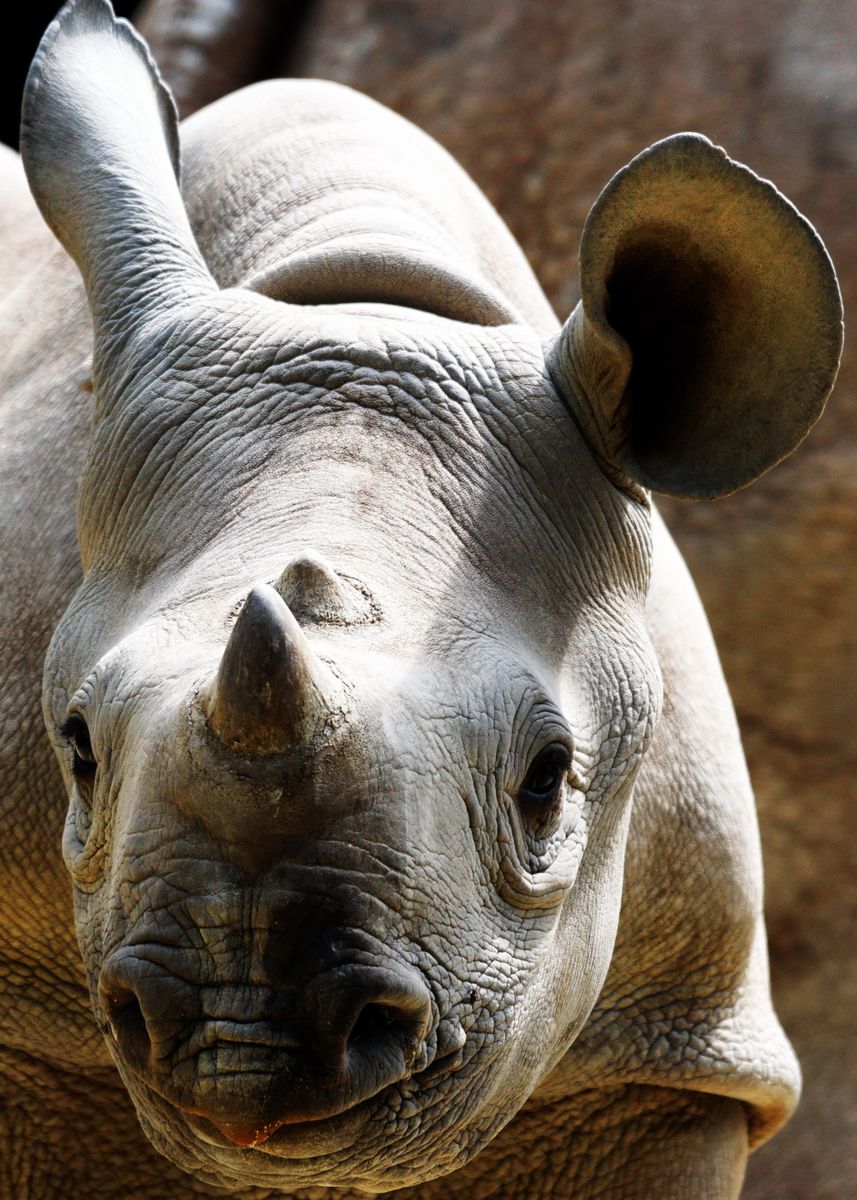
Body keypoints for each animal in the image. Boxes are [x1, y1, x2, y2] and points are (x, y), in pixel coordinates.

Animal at [0, 0, 843, 1195]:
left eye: (547, 778)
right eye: (73, 747)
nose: (239, 1039)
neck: (368, 298)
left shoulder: (663, 1056)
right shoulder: (30, 1034)